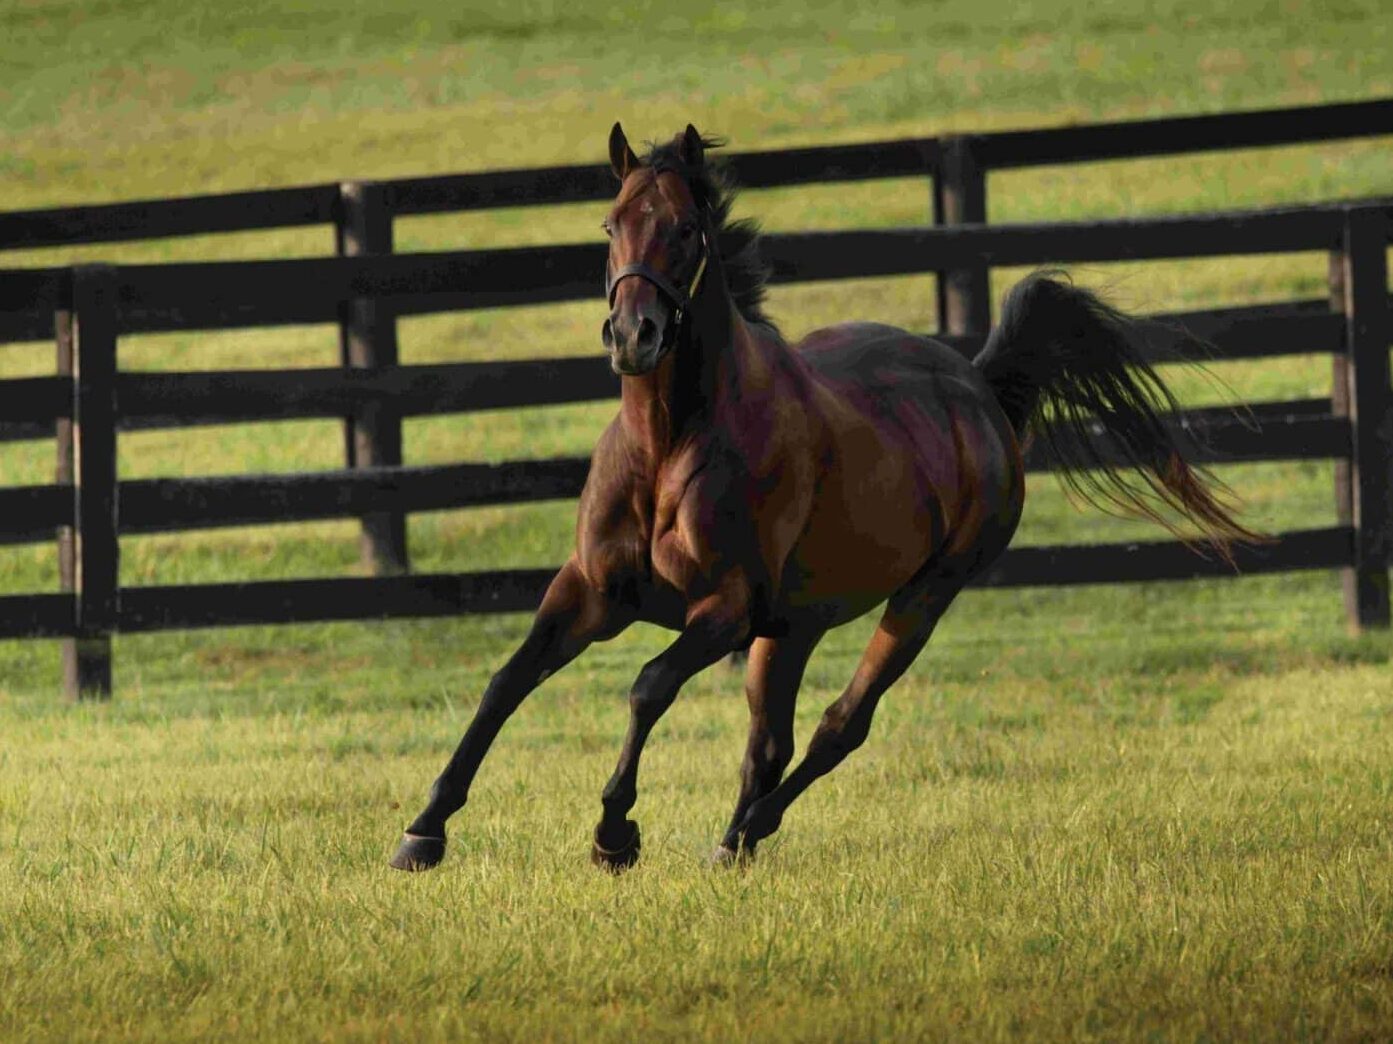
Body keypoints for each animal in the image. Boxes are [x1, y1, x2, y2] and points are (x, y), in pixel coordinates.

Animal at [390, 123, 1260, 872]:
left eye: (686, 230)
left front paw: (614, 834)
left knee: (840, 726)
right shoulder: (592, 592)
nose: (633, 337)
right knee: (767, 744)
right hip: (792, 629)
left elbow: (647, 686)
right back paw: (734, 840)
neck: (669, 446)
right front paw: (422, 833)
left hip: (921, 598)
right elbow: (507, 681)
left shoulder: (724, 609)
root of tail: (978, 387)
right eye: (609, 226)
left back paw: (747, 832)